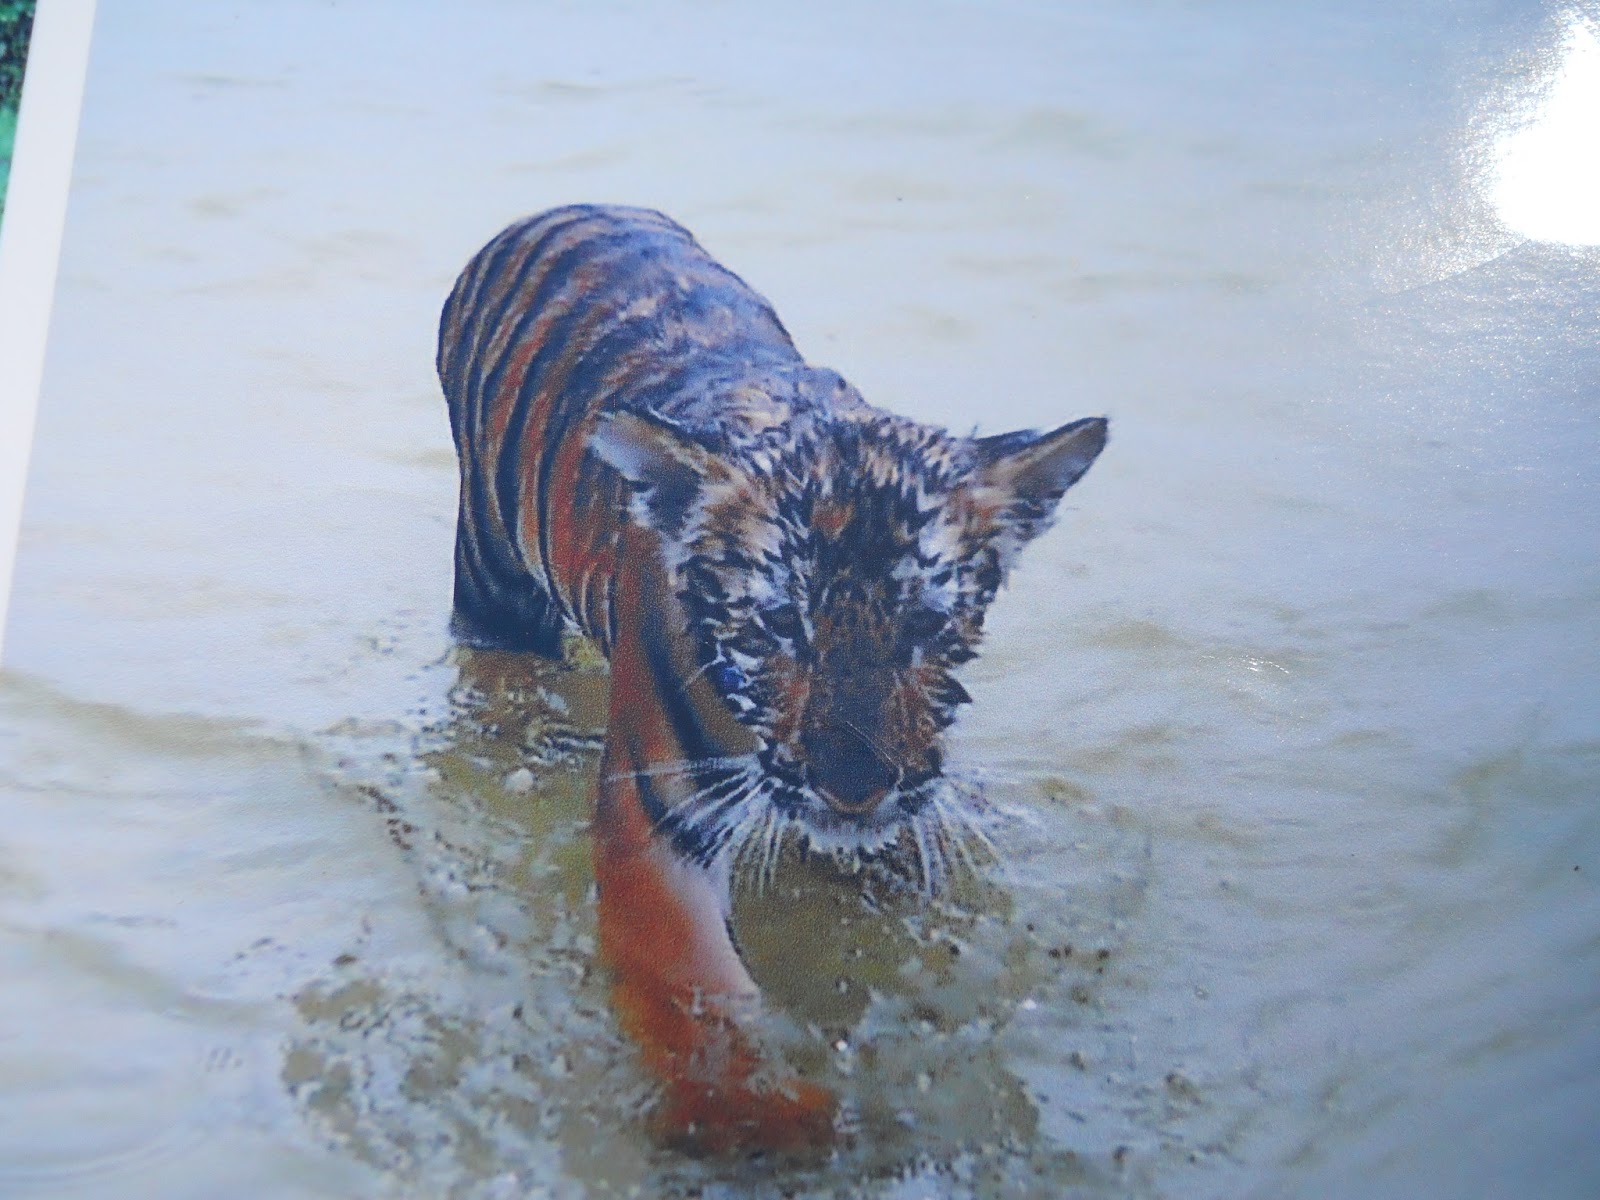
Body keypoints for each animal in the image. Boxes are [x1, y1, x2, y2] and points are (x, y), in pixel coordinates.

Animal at [436, 204, 1107, 1153]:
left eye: (926, 629)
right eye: (782, 626)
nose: (854, 788)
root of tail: (554, 209)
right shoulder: (659, 827)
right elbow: (697, 997)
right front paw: (762, 1127)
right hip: (493, 582)